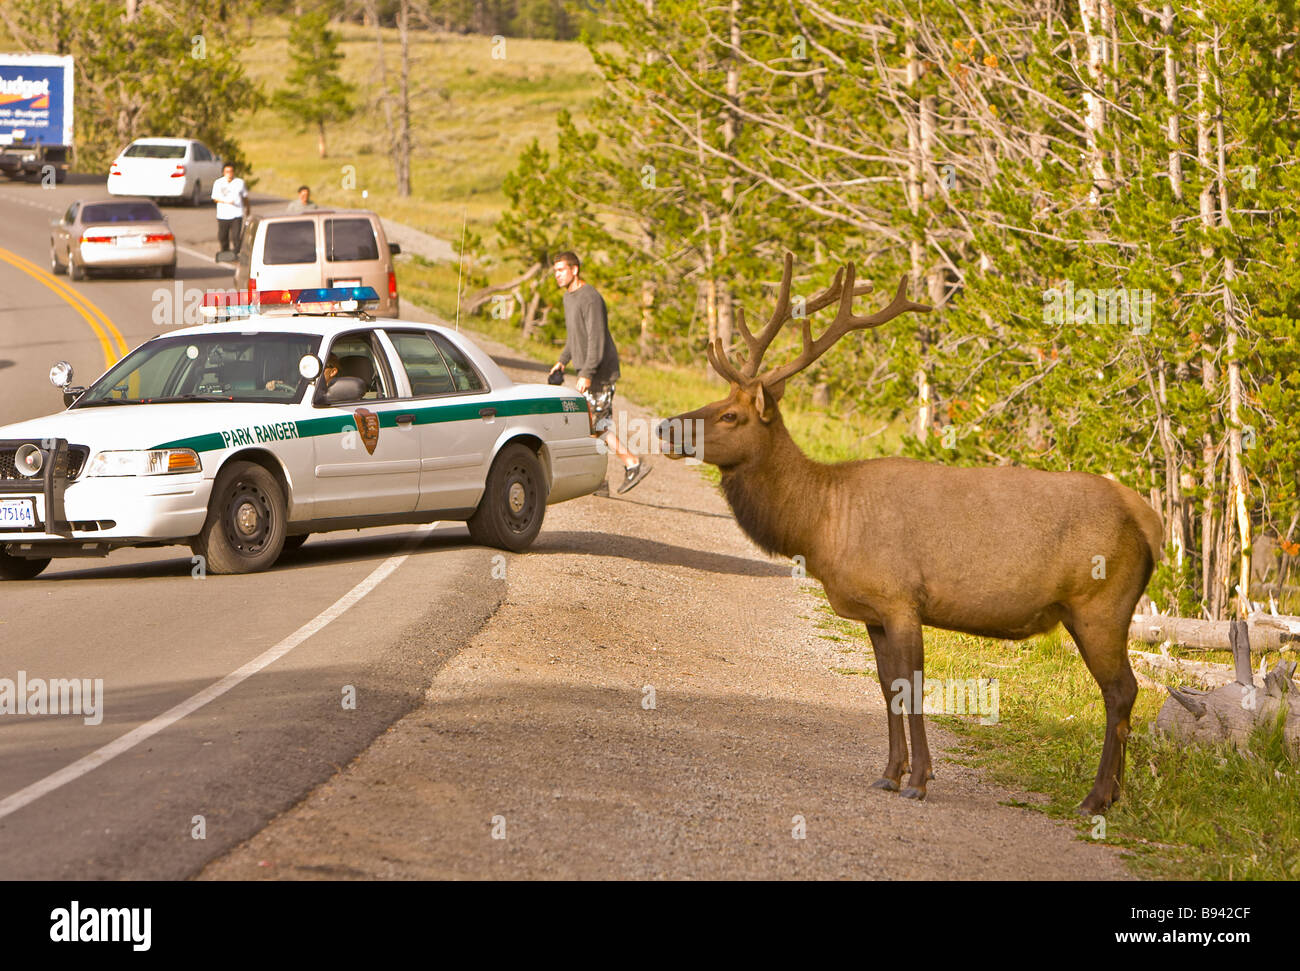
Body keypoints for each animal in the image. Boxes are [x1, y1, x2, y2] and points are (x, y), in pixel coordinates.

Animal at [657, 253, 1163, 814]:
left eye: (730, 414)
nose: (664, 427)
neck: (819, 523)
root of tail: (1150, 521)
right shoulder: (872, 613)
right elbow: (887, 688)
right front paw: (889, 772)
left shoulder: (901, 599)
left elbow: (915, 687)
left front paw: (919, 779)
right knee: (1123, 691)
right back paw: (1112, 795)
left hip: (1101, 606)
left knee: (1122, 690)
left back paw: (1096, 798)